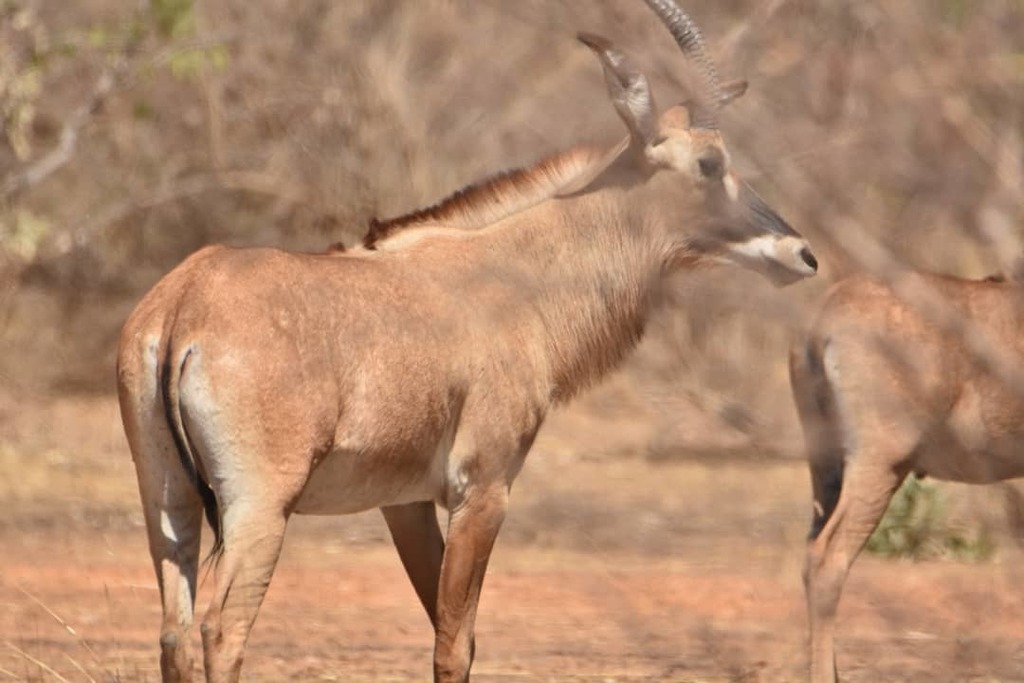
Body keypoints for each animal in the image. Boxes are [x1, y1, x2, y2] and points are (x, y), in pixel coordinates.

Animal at [117, 2, 817, 681]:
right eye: (710, 163)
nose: (801, 254)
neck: (507, 275)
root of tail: (184, 303)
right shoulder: (482, 489)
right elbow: (455, 644)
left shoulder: (404, 503)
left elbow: (452, 629)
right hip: (260, 505)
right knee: (221, 631)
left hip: (167, 501)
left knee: (175, 634)